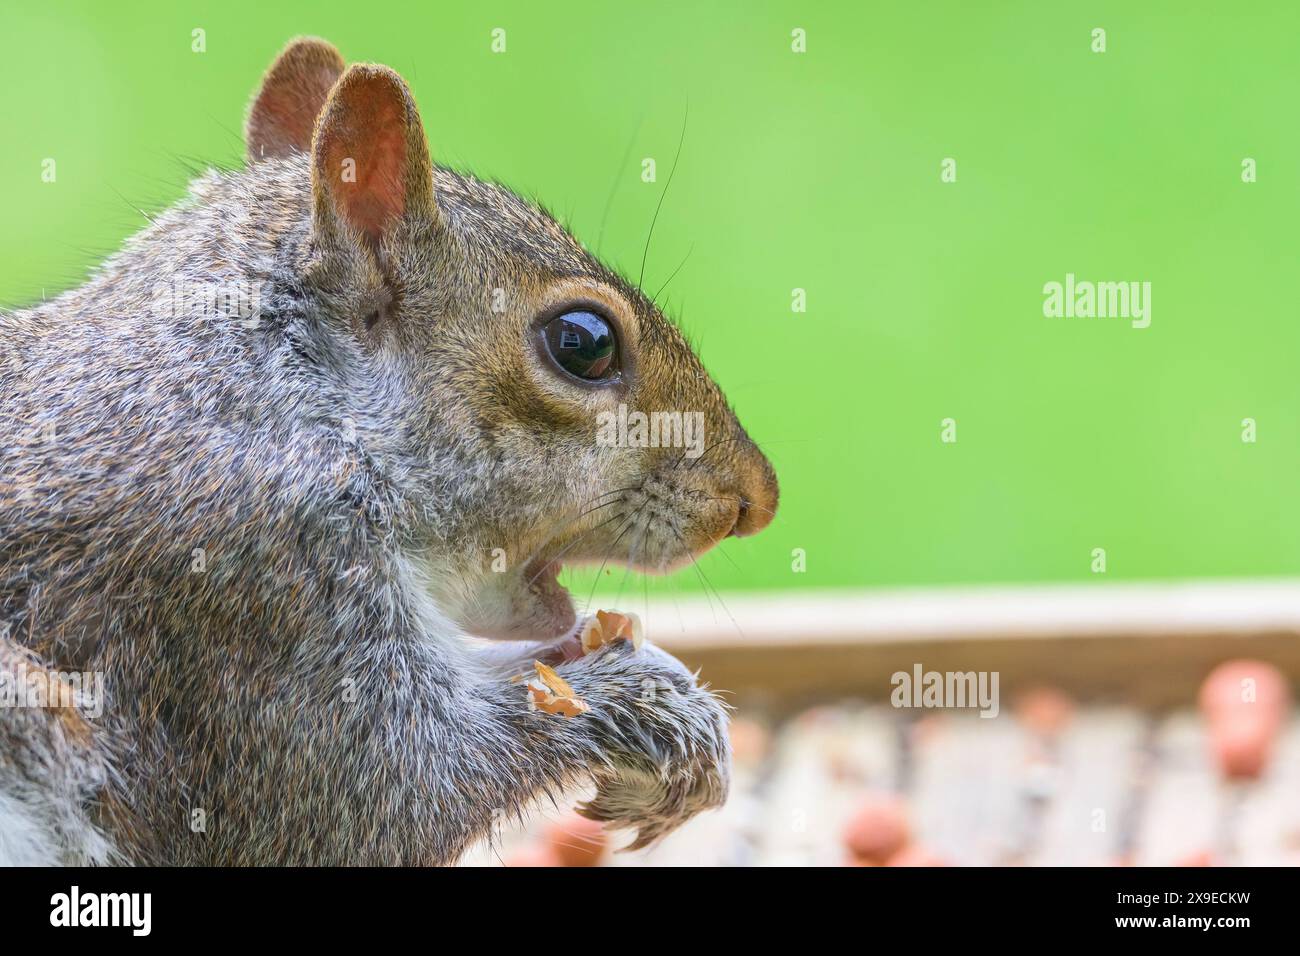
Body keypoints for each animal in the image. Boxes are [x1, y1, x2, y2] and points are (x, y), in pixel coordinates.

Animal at [0, 37, 778, 865]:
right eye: (583, 344)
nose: (755, 501)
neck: (289, 398)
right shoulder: (249, 585)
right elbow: (391, 793)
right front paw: (658, 708)